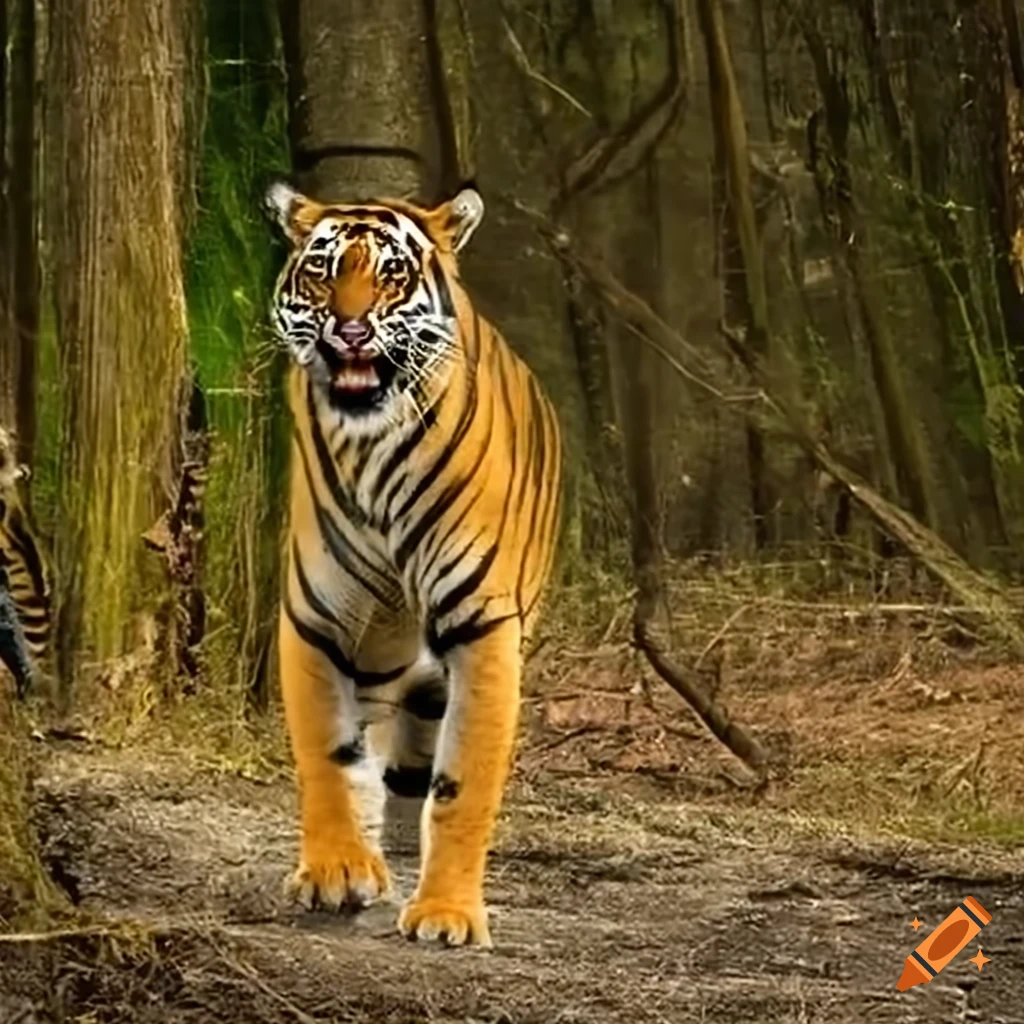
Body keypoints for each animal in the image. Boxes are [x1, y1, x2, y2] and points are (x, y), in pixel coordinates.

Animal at [265, 180, 562, 947]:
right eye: (322, 271)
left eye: (392, 273)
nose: (349, 329)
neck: (373, 448)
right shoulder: (317, 619)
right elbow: (327, 756)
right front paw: (336, 871)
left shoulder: (482, 628)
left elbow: (463, 784)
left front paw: (446, 912)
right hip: (377, 655)